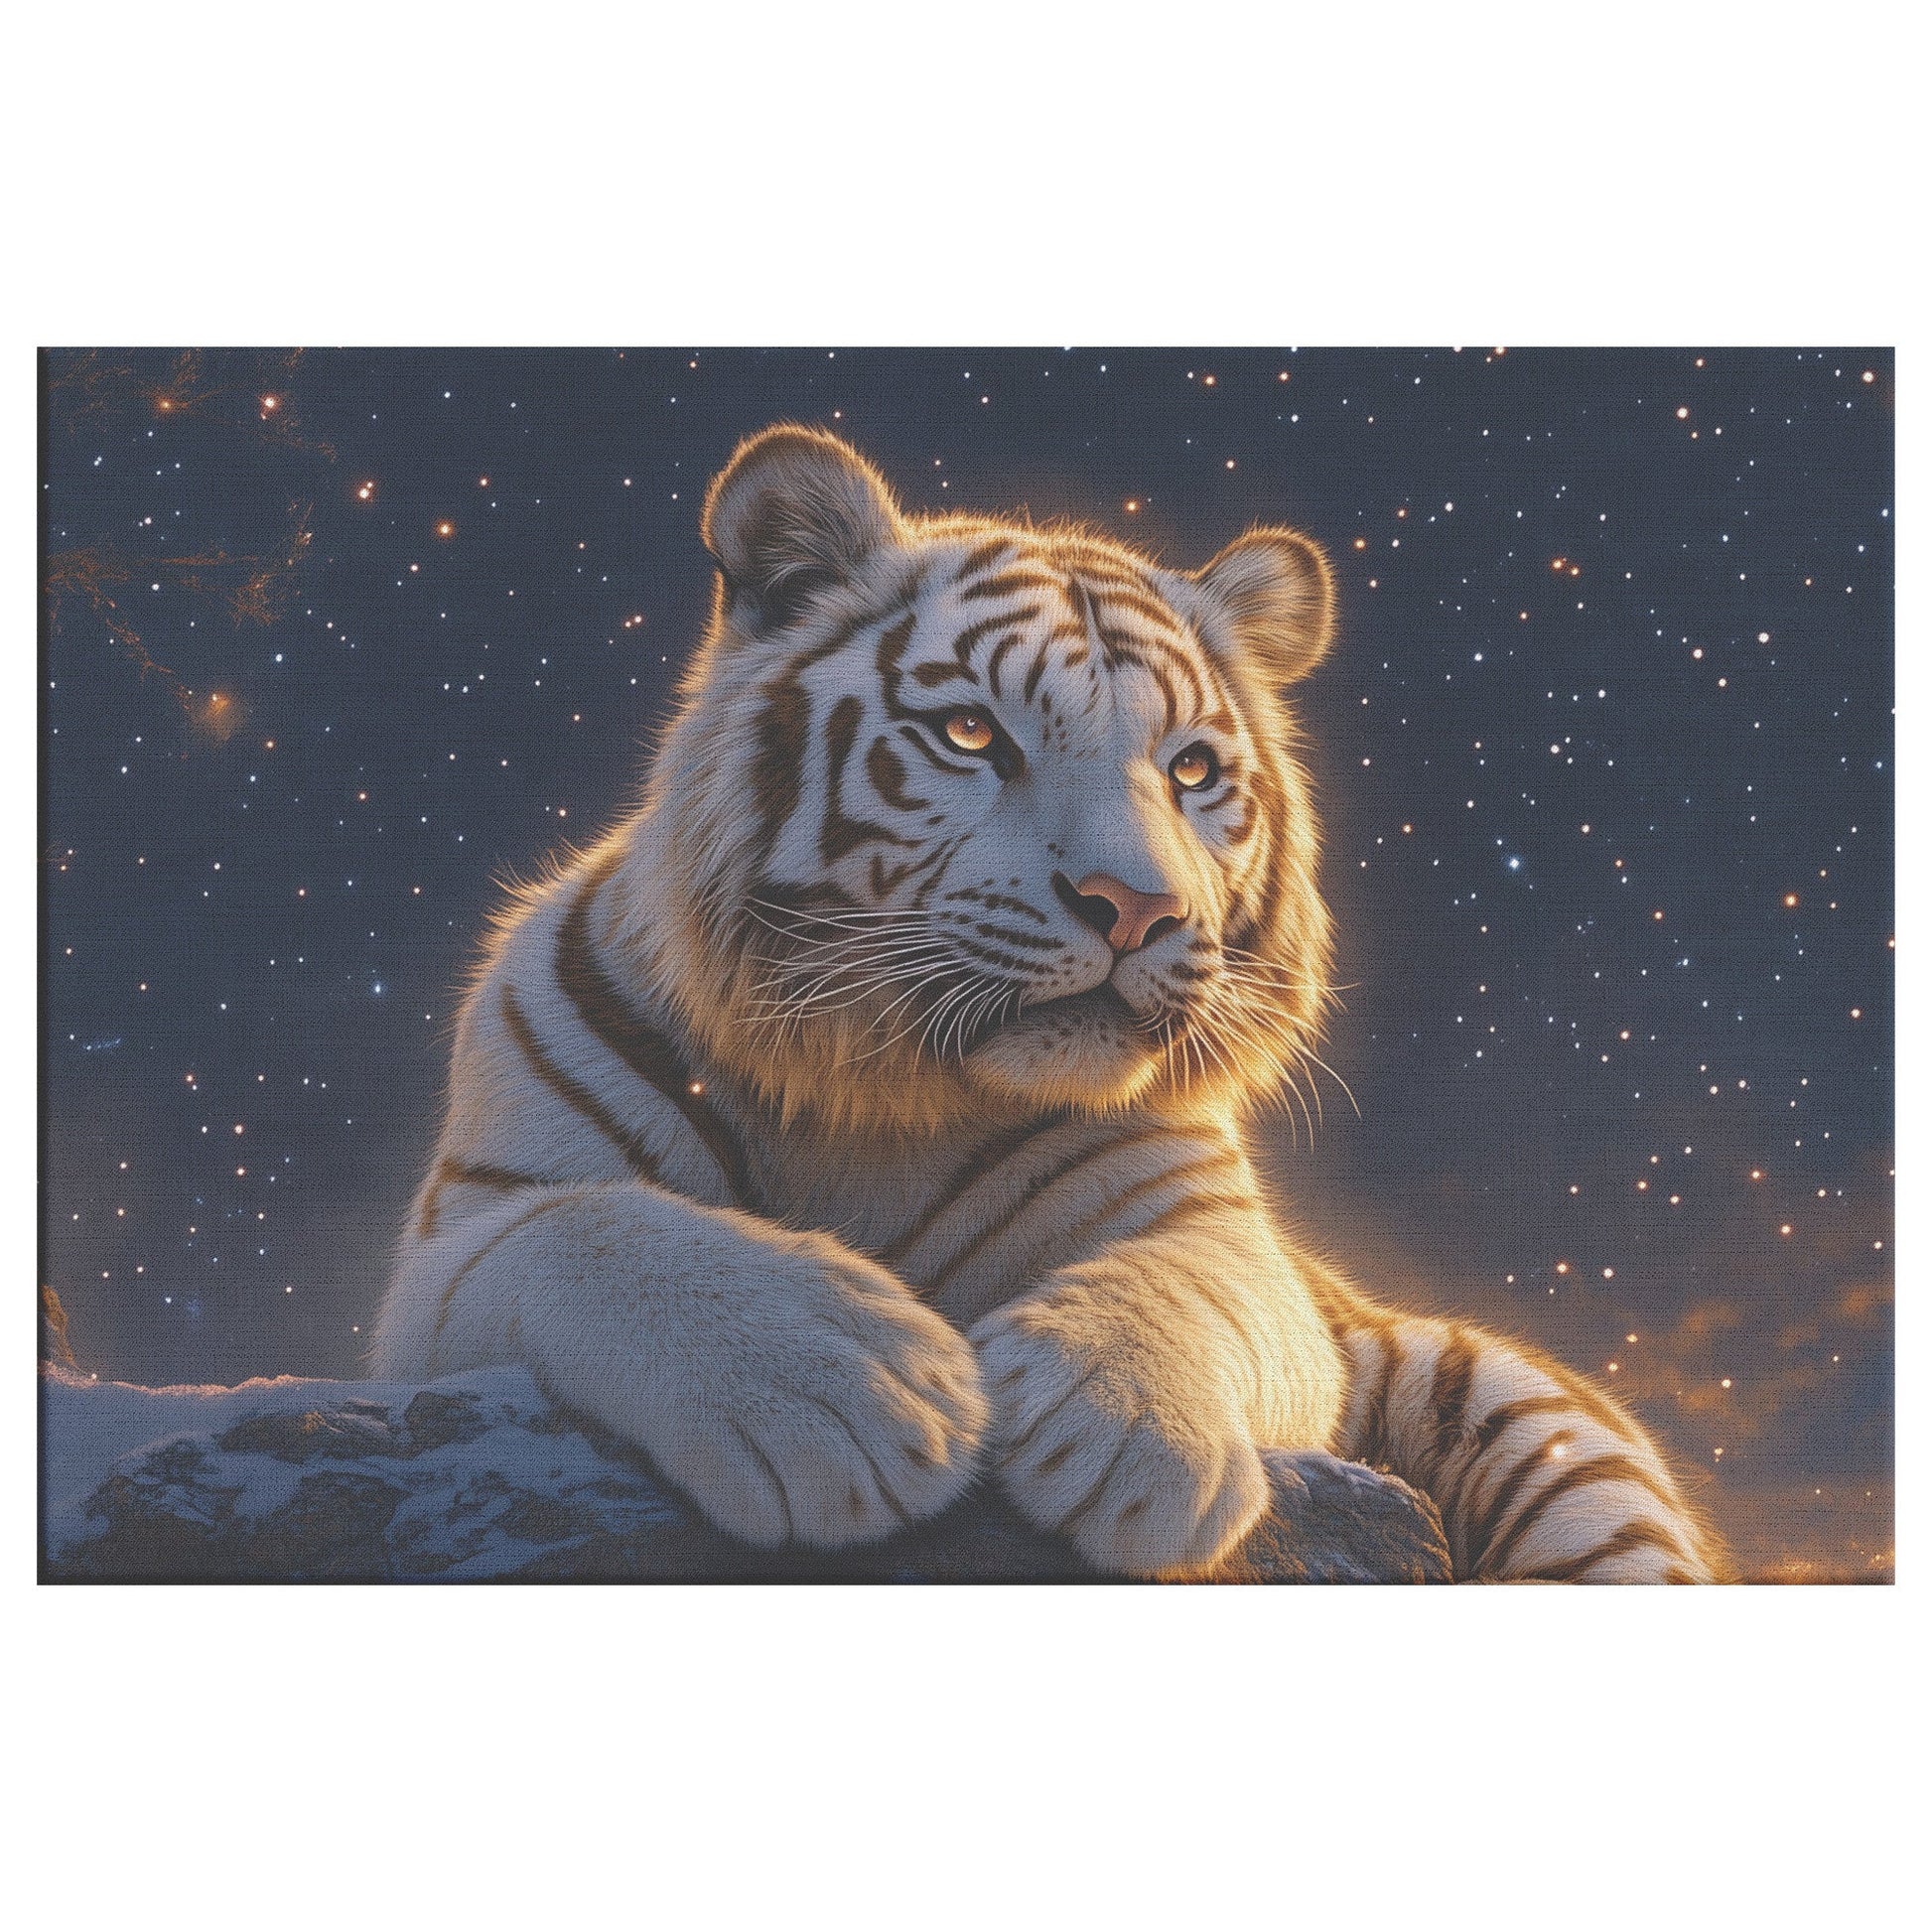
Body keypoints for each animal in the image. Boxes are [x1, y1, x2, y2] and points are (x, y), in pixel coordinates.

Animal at [372, 423, 1728, 1583]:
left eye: (1192, 769)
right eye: (972, 734)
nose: (1133, 907)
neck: (879, 1098)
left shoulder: (1229, 1235)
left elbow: (1187, 1282)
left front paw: (1127, 1426)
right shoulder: (460, 1243)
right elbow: (602, 1230)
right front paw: (843, 1389)